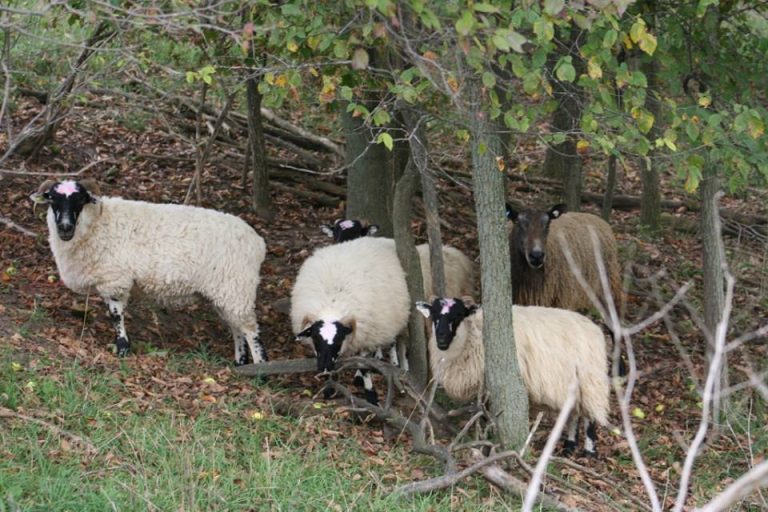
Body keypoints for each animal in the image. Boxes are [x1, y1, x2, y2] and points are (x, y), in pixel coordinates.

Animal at [30, 179, 268, 365]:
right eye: (52, 199)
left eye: (80, 200)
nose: (65, 227)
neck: (95, 224)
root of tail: (258, 243)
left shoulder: (114, 279)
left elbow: (116, 316)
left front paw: (123, 348)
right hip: (225, 294)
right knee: (237, 329)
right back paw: (239, 363)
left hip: (237, 287)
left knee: (251, 331)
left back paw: (259, 370)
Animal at [416, 297, 610, 456]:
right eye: (434, 315)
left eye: (458, 315)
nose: (441, 338)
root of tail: (593, 327)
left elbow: (488, 411)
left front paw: (489, 436)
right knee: (574, 412)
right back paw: (569, 446)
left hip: (590, 379)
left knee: (589, 416)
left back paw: (589, 451)